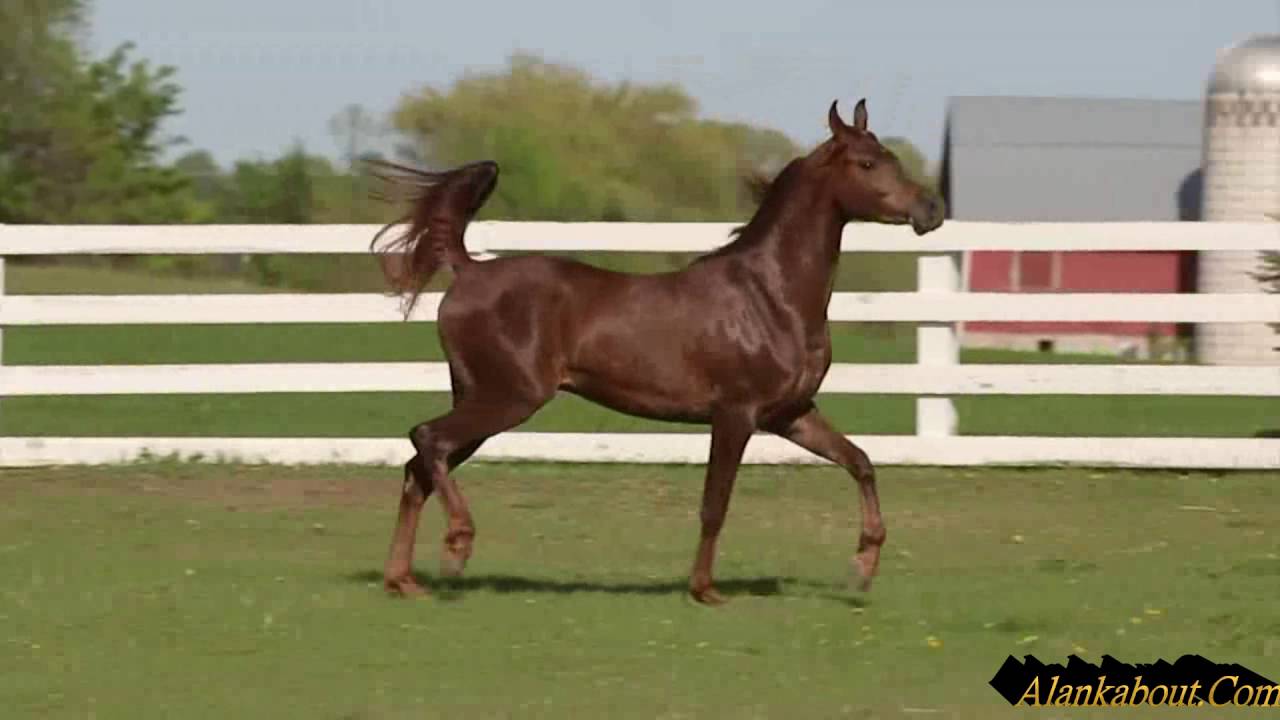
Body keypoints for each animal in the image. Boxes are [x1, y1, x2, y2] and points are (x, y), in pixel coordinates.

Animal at [369, 98, 946, 605]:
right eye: (867, 162)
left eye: (891, 155)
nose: (931, 210)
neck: (770, 294)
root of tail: (468, 270)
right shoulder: (735, 414)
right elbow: (715, 504)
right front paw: (705, 590)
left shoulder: (791, 414)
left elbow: (861, 462)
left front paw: (863, 567)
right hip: (509, 398)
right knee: (427, 440)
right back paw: (456, 547)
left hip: (481, 399)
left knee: (418, 469)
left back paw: (403, 581)